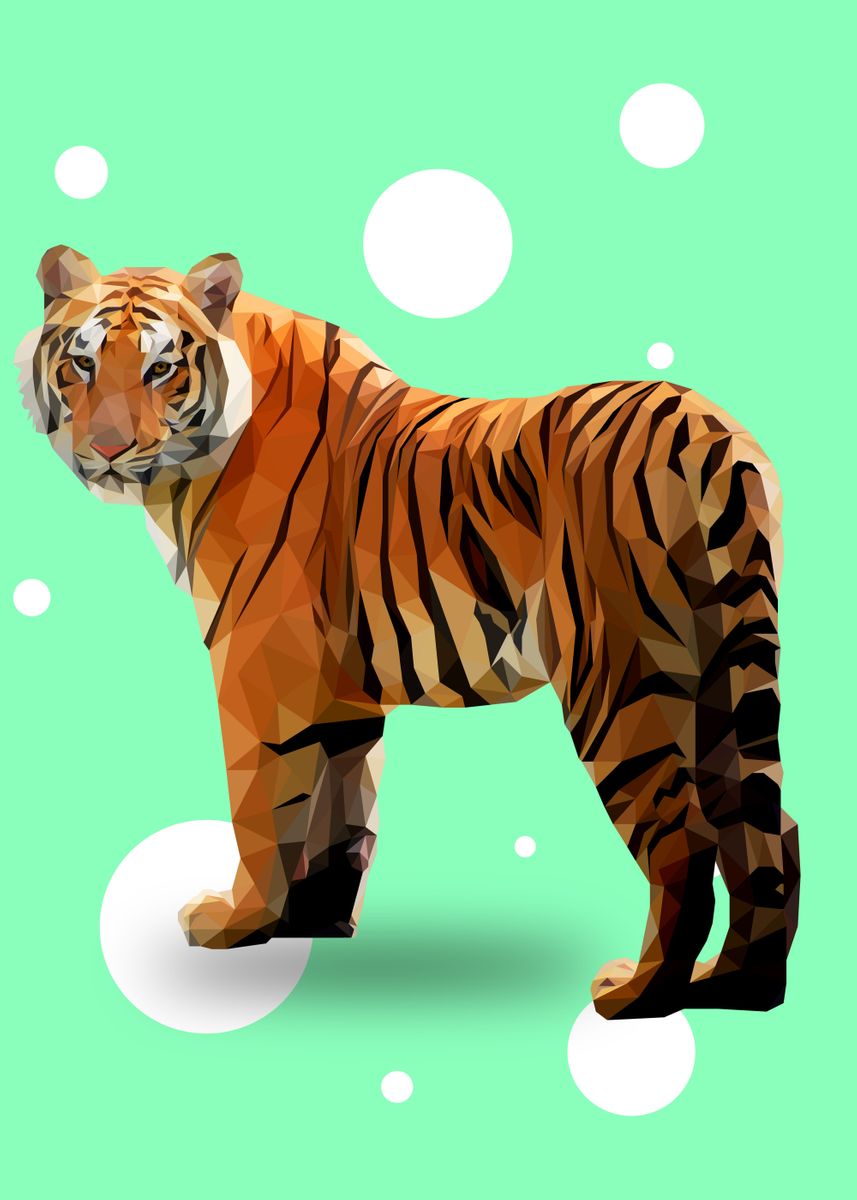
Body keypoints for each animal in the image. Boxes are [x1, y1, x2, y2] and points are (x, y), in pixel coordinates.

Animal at [15, 244, 800, 1019]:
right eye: (82, 364)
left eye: (161, 368)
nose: (107, 450)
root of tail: (704, 427)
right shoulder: (338, 688)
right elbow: (342, 808)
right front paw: (318, 921)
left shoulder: (259, 661)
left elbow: (263, 808)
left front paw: (237, 922)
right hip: (726, 665)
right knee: (768, 829)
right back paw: (738, 986)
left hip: (617, 674)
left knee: (683, 838)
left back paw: (637, 994)